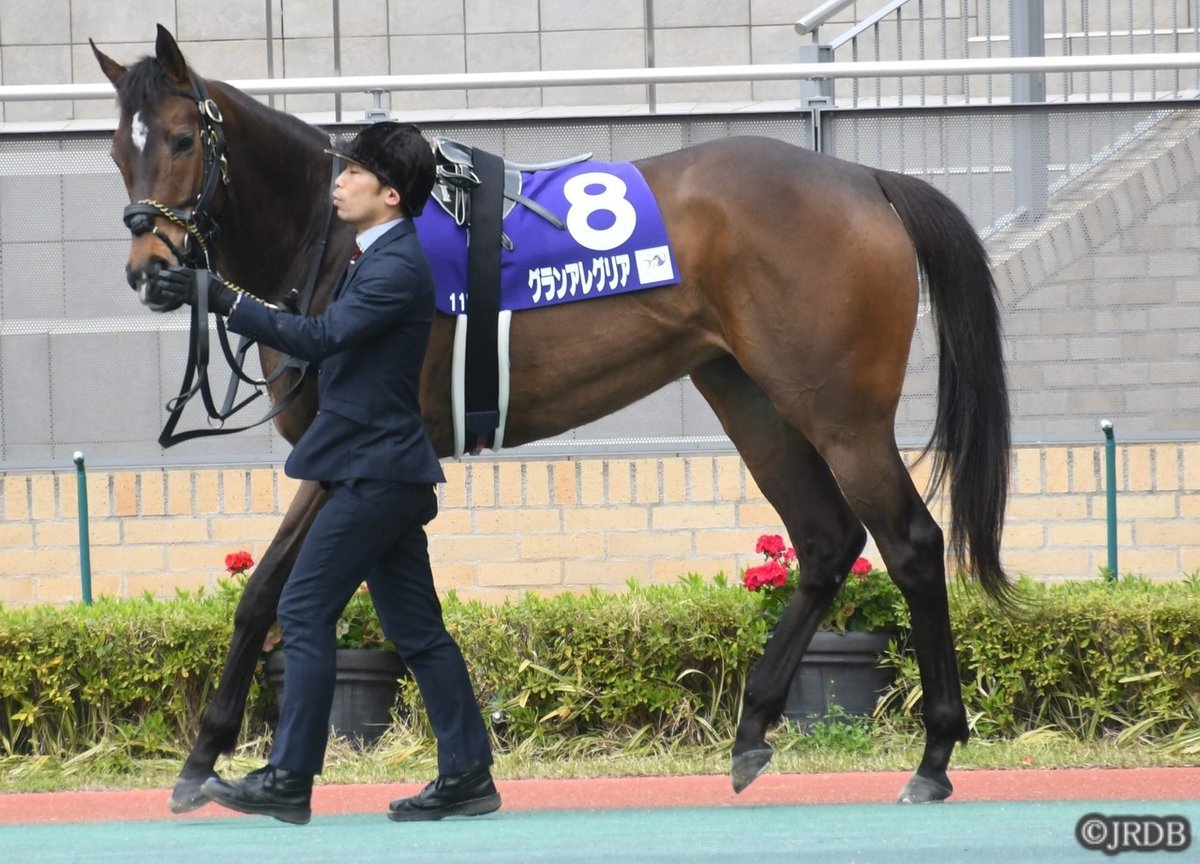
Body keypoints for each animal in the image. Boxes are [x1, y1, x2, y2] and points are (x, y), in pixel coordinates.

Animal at [92, 25, 1010, 811]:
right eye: (117, 150)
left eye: (182, 139)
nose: (147, 269)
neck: (337, 239)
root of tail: (865, 181)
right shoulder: (377, 466)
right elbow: (357, 606)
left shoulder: (339, 452)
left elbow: (268, 595)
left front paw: (208, 756)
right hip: (749, 395)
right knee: (825, 542)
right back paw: (753, 729)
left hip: (841, 413)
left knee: (911, 544)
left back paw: (933, 756)